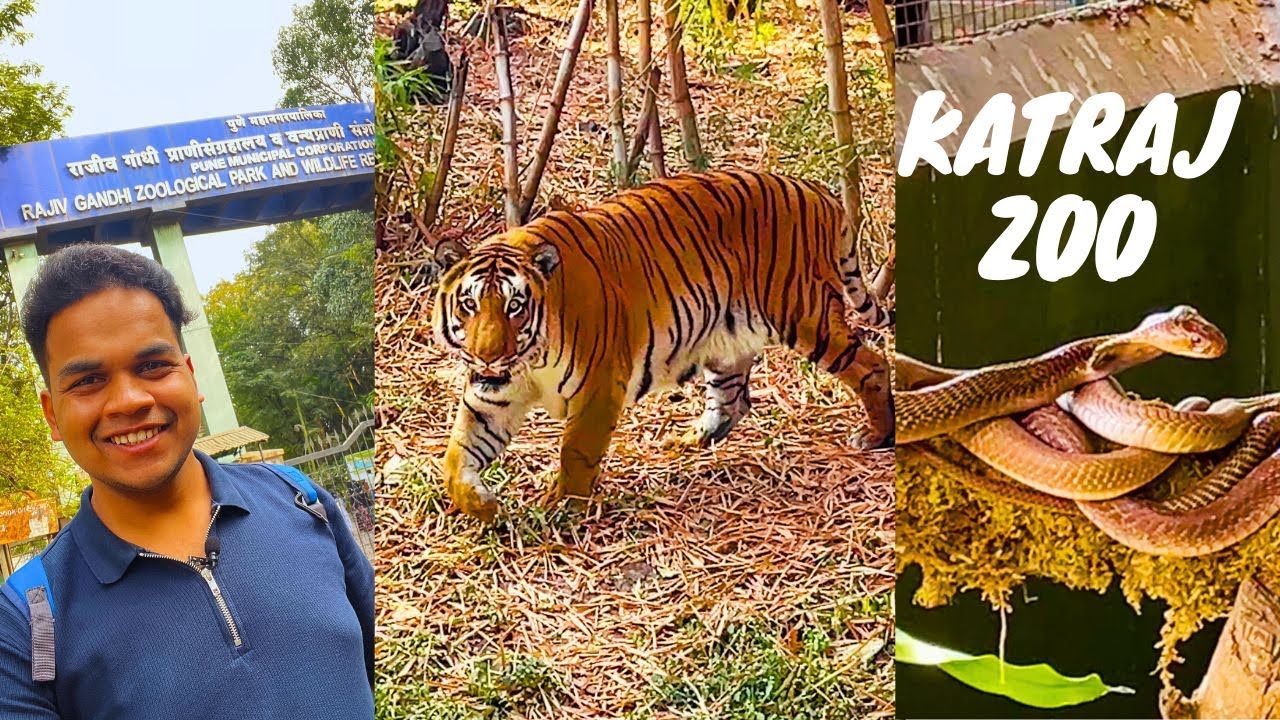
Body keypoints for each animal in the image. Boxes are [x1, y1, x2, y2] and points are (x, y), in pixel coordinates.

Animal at [431, 169, 894, 522]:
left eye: (515, 306)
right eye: (470, 304)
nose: (488, 357)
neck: (530, 359)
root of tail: (816, 191)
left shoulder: (598, 388)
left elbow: (576, 452)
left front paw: (562, 506)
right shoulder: (490, 399)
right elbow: (454, 458)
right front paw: (483, 506)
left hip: (805, 317)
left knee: (872, 365)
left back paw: (876, 435)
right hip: (727, 339)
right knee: (734, 400)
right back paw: (688, 441)